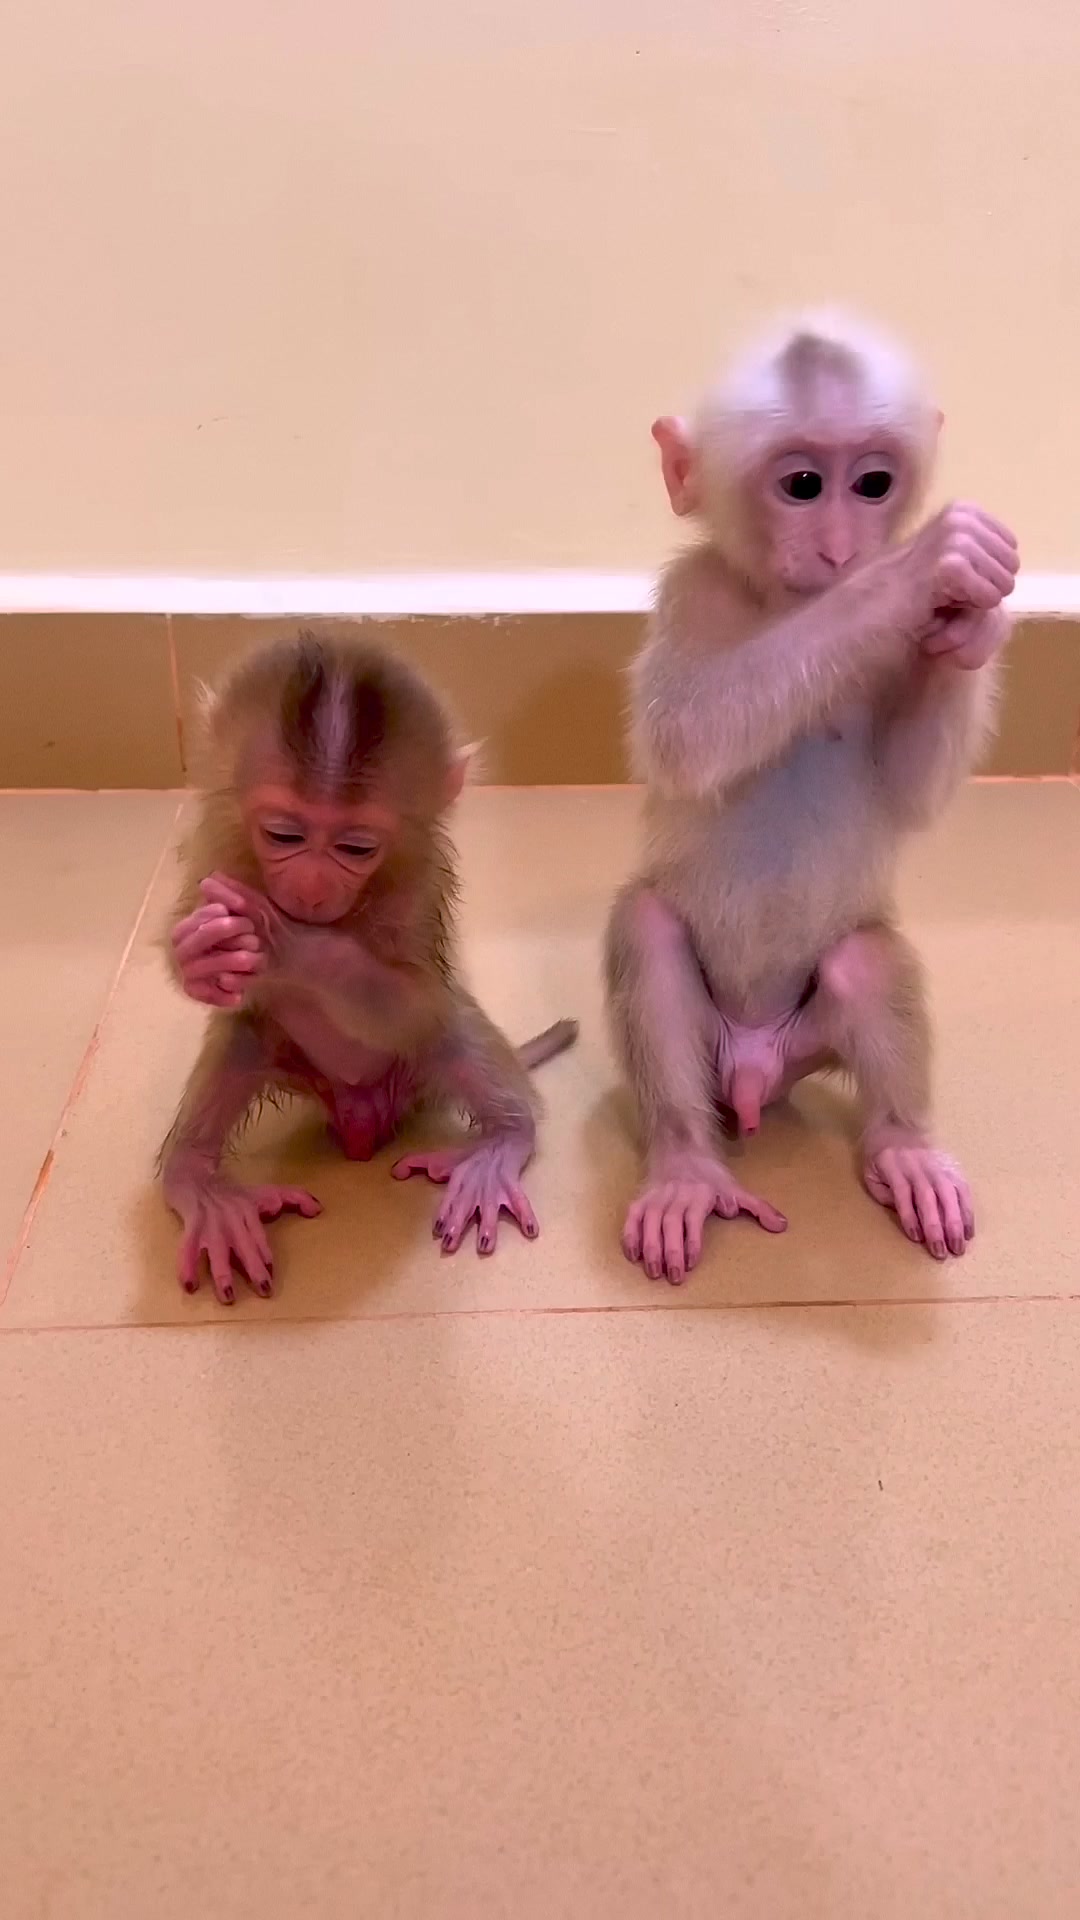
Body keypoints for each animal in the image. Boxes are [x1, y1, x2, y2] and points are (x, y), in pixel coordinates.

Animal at [159, 627, 577, 1302]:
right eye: (283, 835)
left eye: (356, 847)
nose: (309, 887)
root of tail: (361, 1121)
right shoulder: (217, 842)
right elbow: (217, 974)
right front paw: (197, 951)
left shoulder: (416, 883)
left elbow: (412, 1004)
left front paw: (294, 942)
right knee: (241, 1037)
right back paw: (197, 1182)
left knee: (447, 1026)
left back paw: (503, 1143)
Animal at [604, 312, 1019, 1284]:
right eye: (802, 485)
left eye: (872, 483)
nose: (840, 549)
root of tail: (757, 1064)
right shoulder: (694, 592)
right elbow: (689, 734)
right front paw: (910, 574)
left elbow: (912, 788)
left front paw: (973, 620)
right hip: (714, 1048)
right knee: (649, 929)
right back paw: (685, 1167)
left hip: (812, 1043)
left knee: (866, 962)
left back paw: (903, 1147)